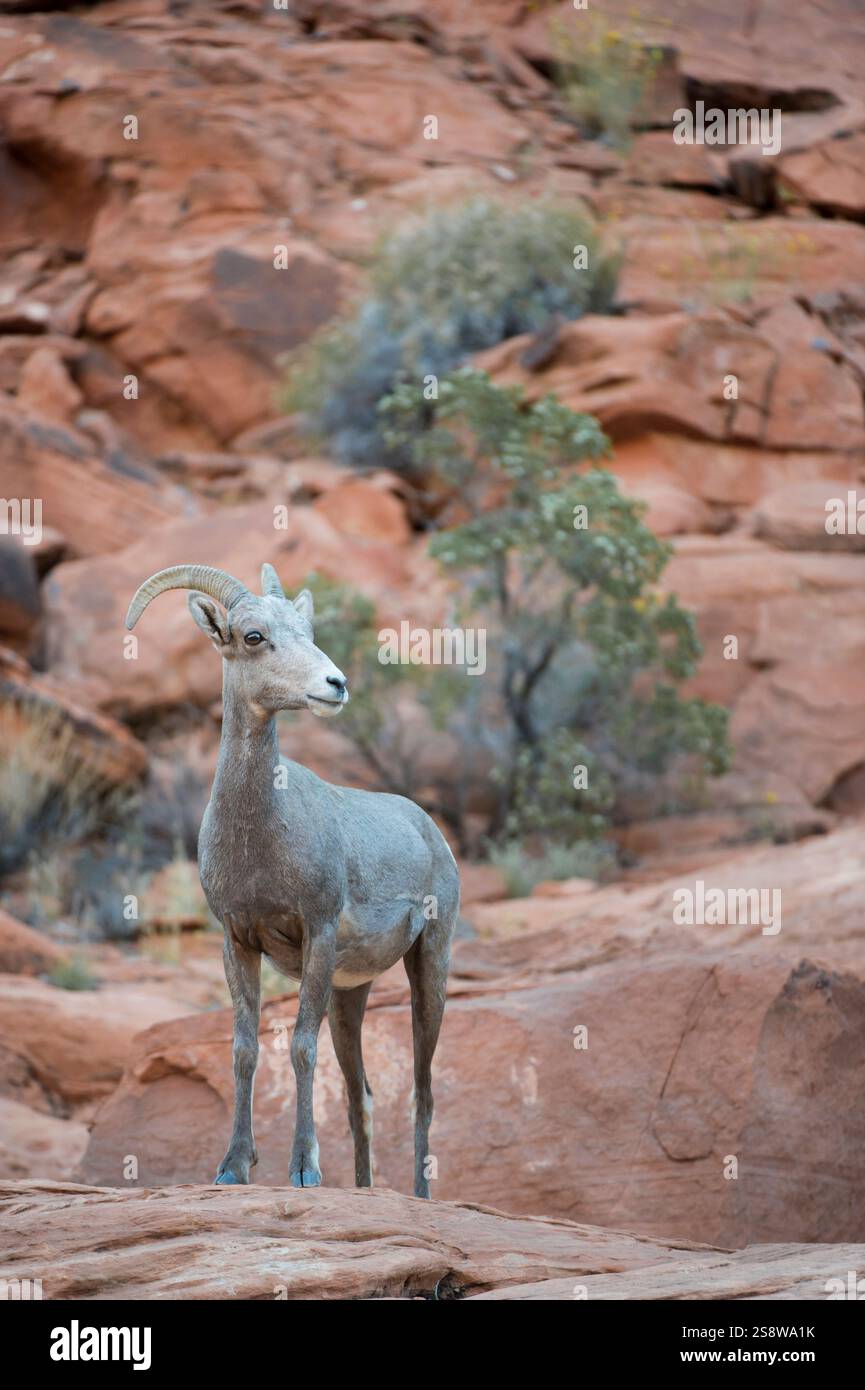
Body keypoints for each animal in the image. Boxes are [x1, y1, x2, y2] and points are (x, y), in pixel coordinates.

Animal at [125, 562, 460, 1195]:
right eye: (254, 636)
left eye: (307, 630)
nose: (336, 684)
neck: (260, 836)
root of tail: (430, 829)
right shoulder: (236, 942)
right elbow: (244, 1050)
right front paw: (233, 1168)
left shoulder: (317, 934)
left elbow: (301, 1048)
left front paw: (304, 1170)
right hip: (350, 995)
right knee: (361, 1098)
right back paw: (363, 1189)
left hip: (429, 962)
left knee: (424, 1093)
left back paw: (422, 1196)